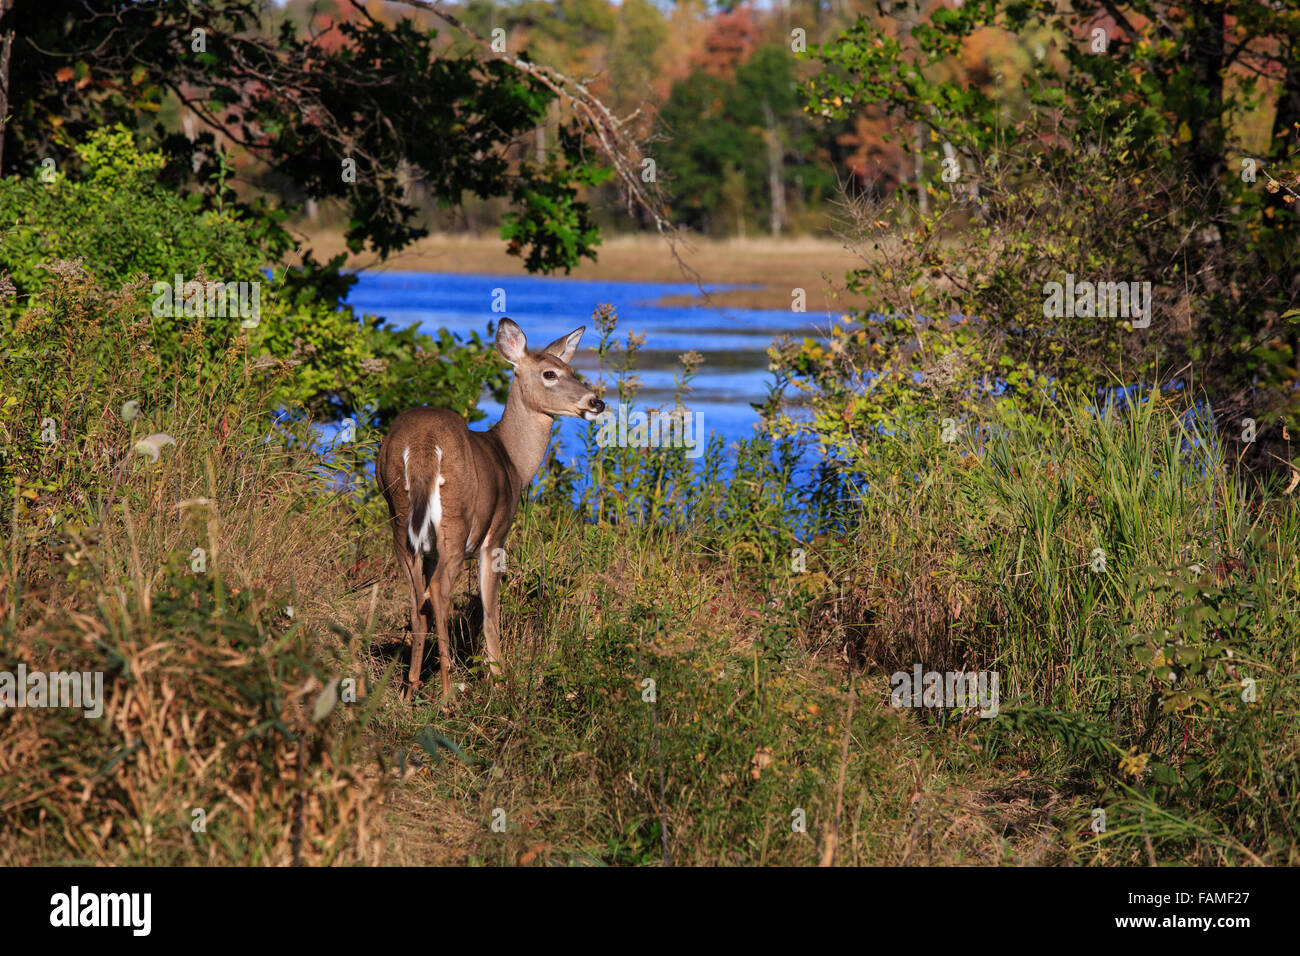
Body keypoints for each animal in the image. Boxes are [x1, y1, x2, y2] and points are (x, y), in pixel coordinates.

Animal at [376, 318, 604, 701]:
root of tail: (422, 445)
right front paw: (500, 675)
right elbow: (489, 610)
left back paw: (411, 689)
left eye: (572, 370)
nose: (596, 401)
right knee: (439, 593)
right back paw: (448, 694)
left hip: (399, 518)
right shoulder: (496, 535)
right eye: (550, 373)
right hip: (456, 520)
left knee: (417, 600)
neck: (512, 460)